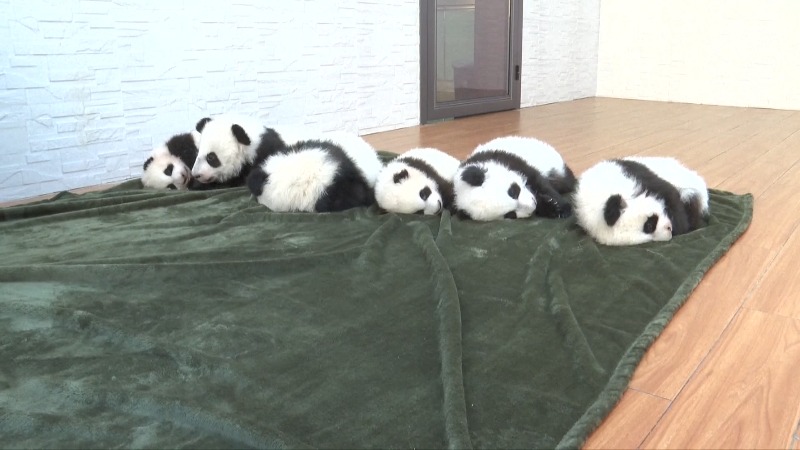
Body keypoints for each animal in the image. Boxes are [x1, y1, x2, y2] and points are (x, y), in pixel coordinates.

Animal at [573, 156, 709, 246]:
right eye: (649, 229)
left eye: (649, 224)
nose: (669, 229)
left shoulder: (632, 173)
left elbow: (669, 195)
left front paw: (681, 226)